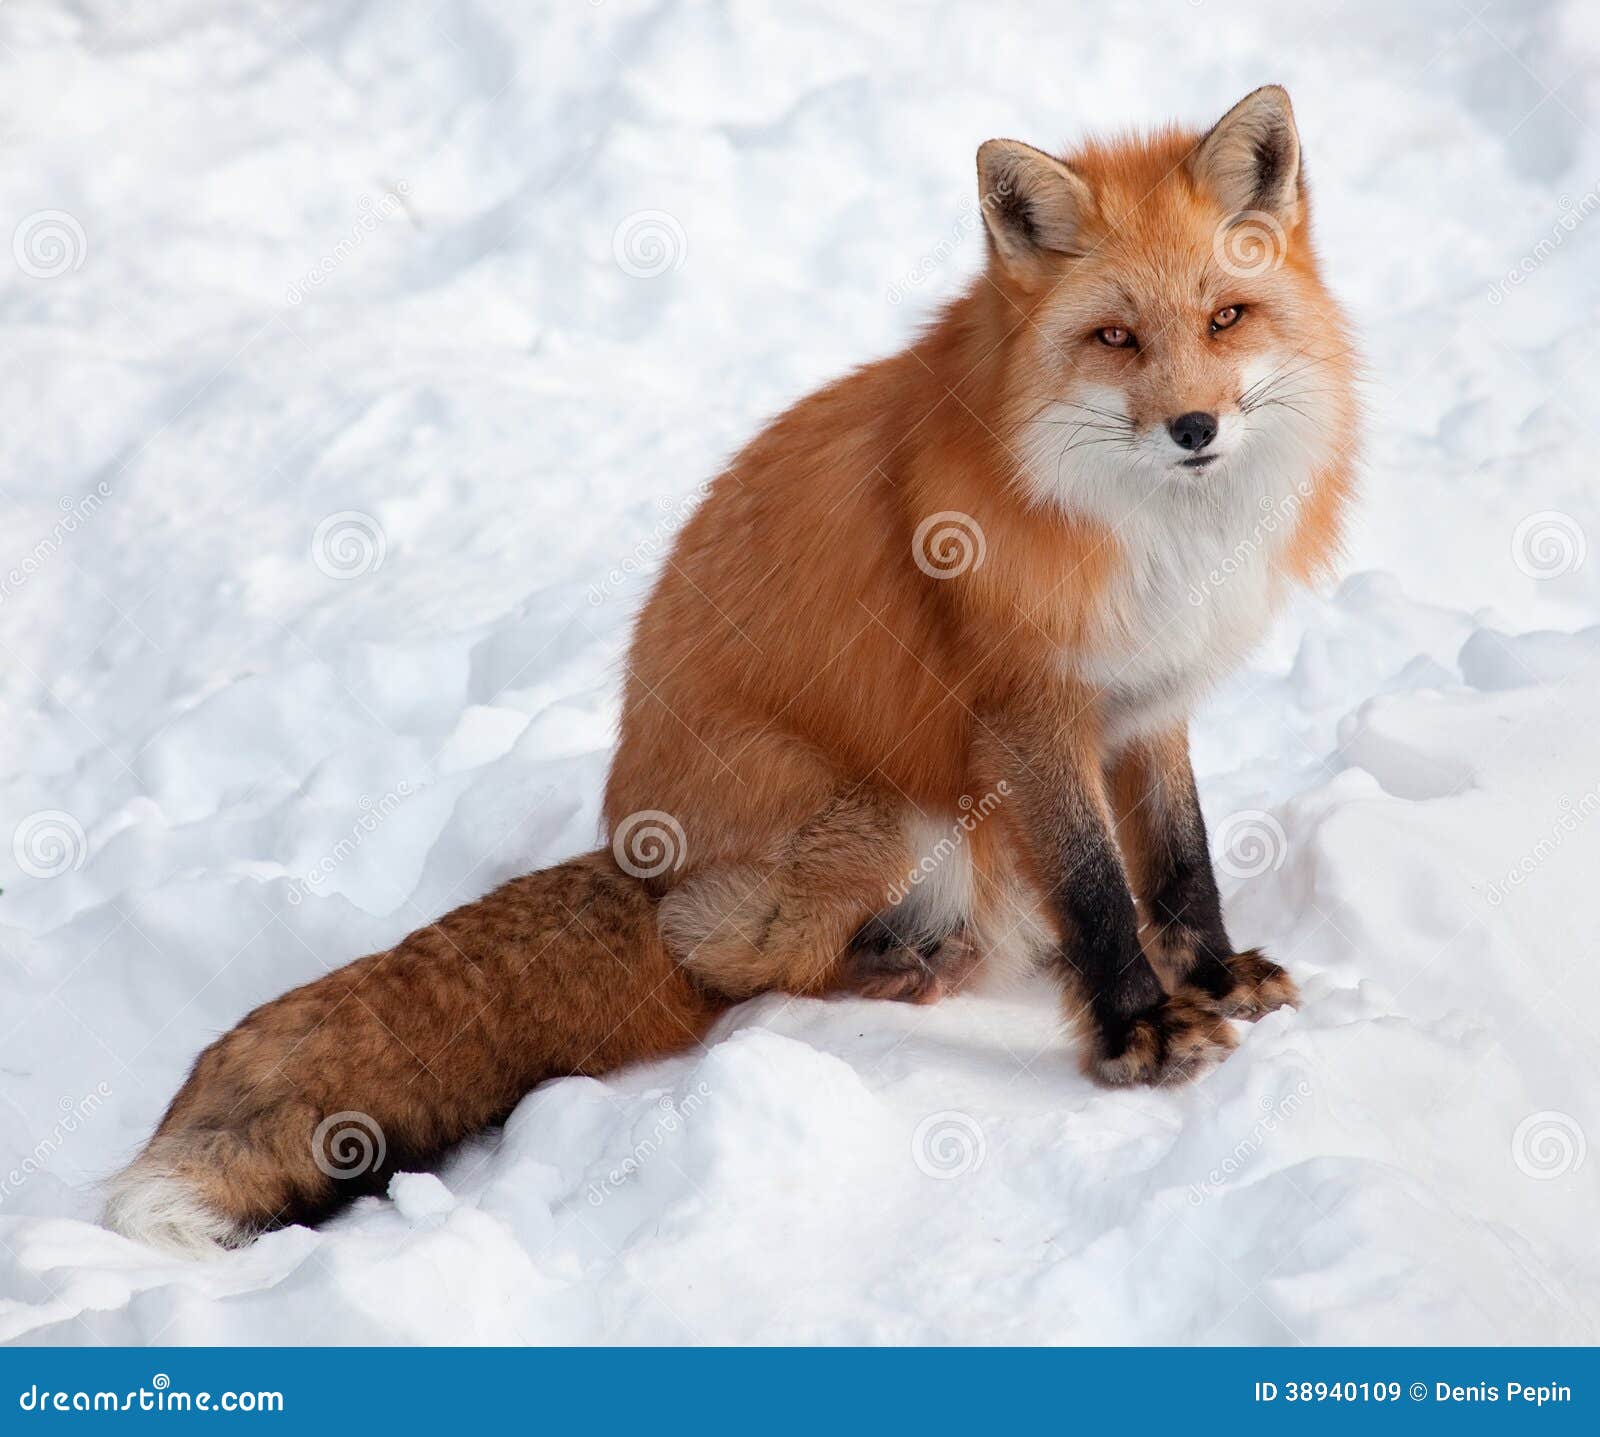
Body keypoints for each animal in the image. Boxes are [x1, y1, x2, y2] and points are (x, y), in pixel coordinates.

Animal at [105, 85, 1357, 1254]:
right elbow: (1097, 888)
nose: (1194, 428)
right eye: (1114, 339)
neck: (1148, 536)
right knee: (724, 959)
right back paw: (903, 967)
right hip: (879, 817)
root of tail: (634, 851)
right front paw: (1139, 1033)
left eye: (1226, 318)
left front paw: (1212, 977)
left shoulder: (1146, 702)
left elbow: (1178, 860)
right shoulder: (1025, 714)